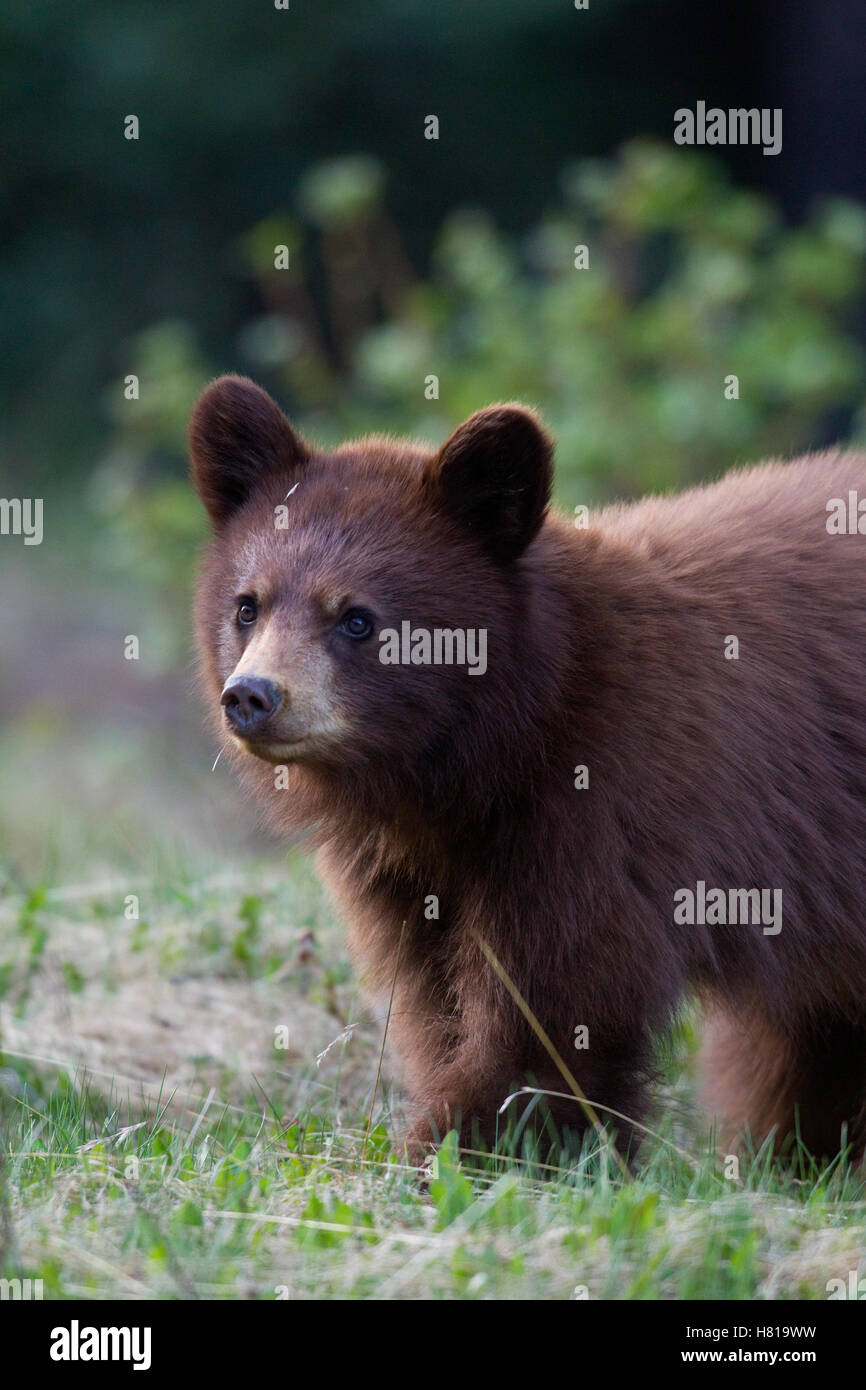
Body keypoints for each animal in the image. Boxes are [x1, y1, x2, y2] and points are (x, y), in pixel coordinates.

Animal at [190, 373, 866, 1165]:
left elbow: (556, 997)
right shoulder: (407, 874)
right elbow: (434, 995)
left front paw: (459, 1149)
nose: (252, 696)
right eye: (248, 605)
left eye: (357, 618)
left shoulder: (605, 804)